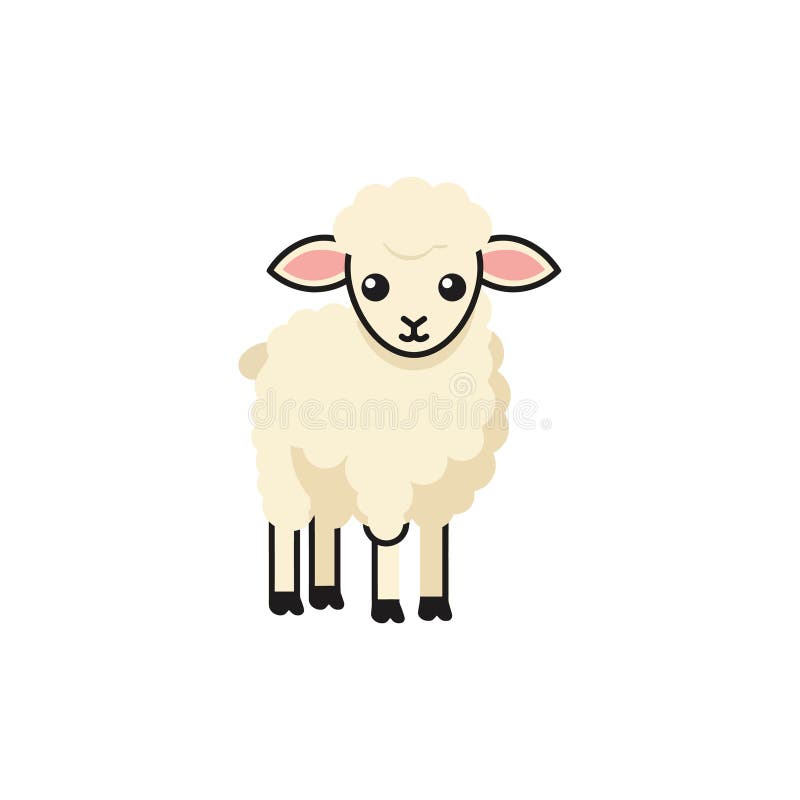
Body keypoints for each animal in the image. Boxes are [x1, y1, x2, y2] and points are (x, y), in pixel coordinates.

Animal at [240, 178, 560, 622]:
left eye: (453, 285)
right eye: (373, 285)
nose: (413, 324)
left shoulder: (445, 480)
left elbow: (435, 537)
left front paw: (435, 605)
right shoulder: (382, 473)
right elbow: (388, 538)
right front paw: (388, 607)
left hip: (326, 469)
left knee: (324, 519)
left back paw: (326, 595)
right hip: (279, 458)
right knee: (286, 519)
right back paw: (287, 600)